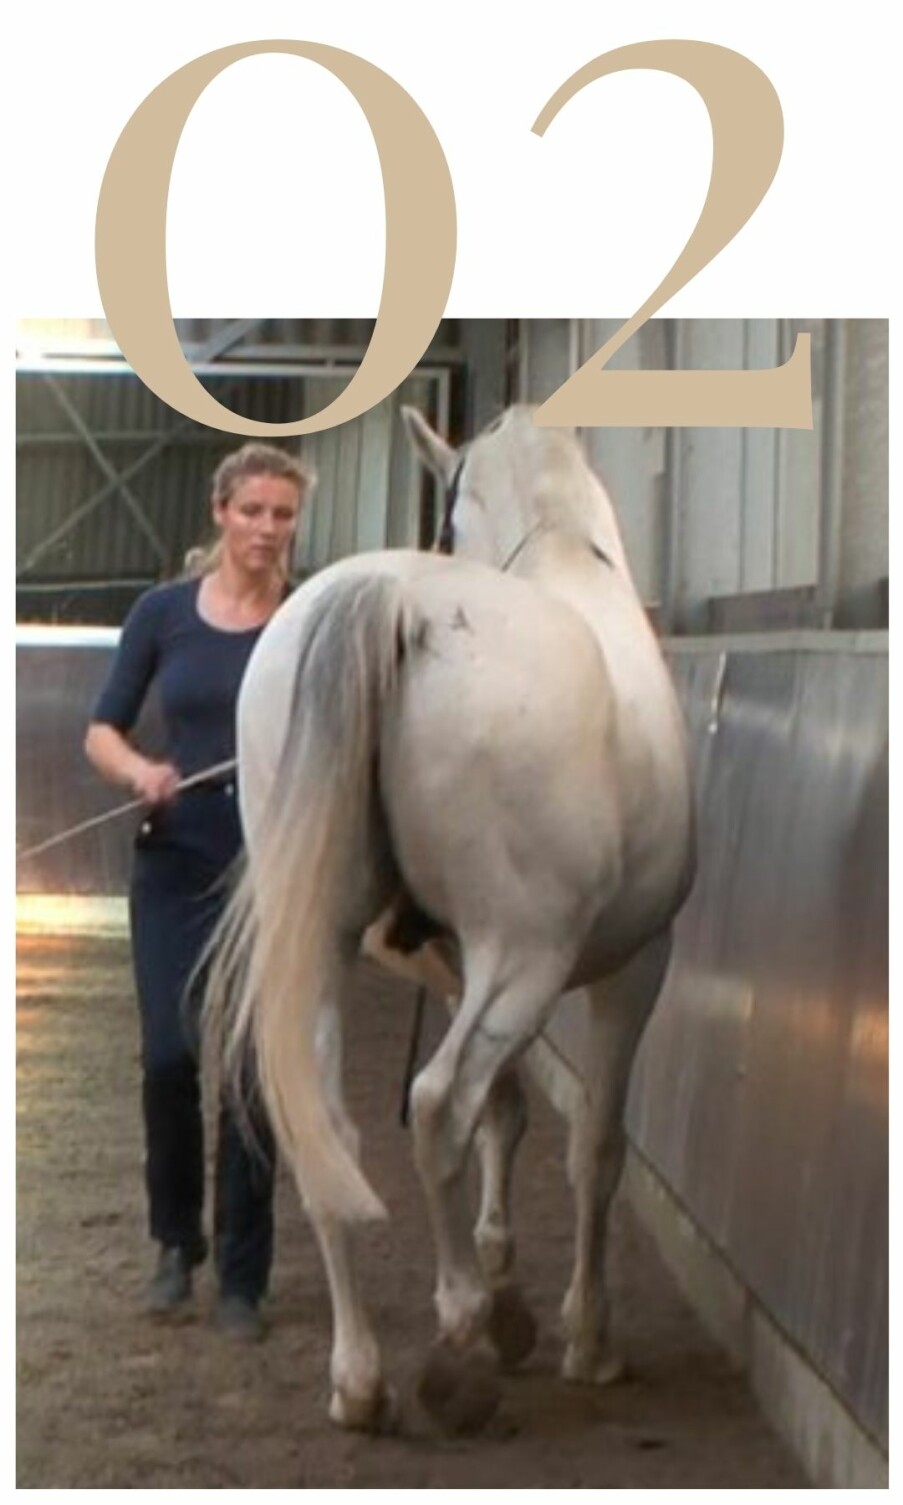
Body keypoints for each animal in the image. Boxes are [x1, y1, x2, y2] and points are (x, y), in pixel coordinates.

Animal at [209, 404, 695, 1434]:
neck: (561, 552)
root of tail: (396, 601)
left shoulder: (448, 962)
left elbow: (506, 1112)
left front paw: (508, 1286)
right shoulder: (629, 966)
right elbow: (592, 1145)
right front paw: (581, 1336)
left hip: (327, 945)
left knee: (329, 1128)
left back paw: (361, 1378)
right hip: (528, 959)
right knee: (436, 1105)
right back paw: (460, 1336)